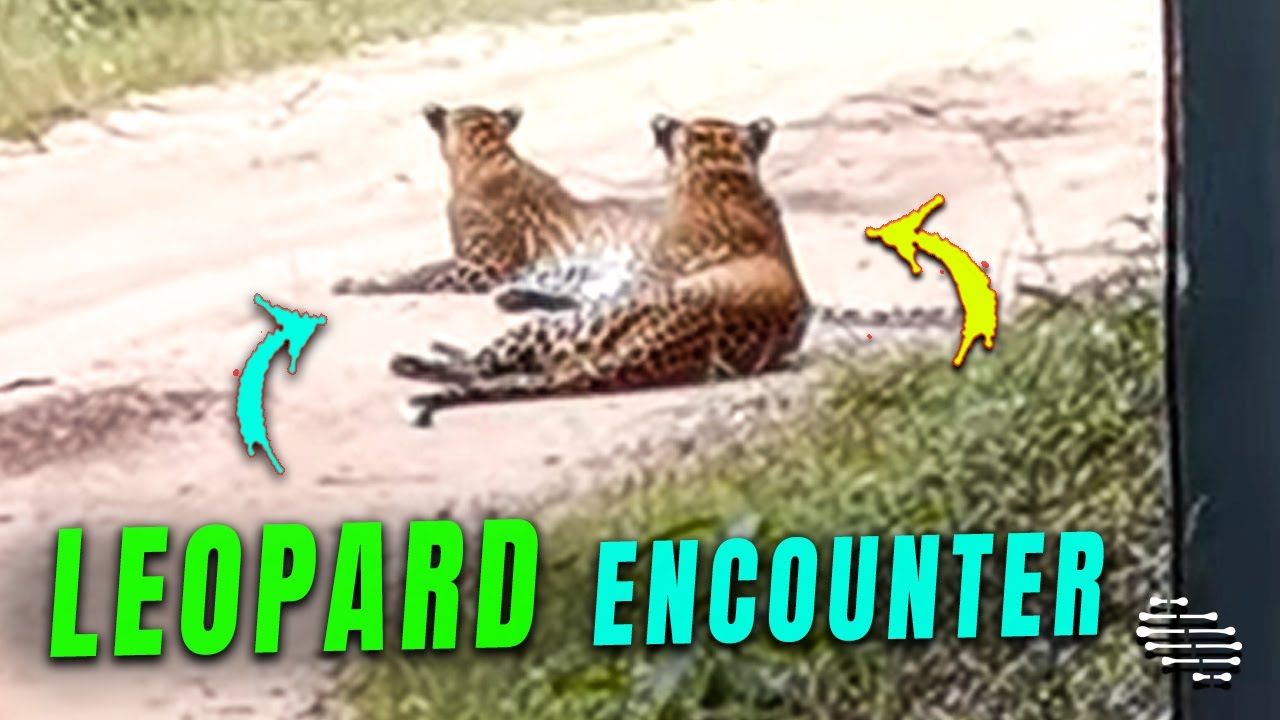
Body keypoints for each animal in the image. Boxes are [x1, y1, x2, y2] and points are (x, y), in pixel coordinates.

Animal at [331, 103, 661, 296]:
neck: (485, 157)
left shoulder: (481, 267)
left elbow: (419, 281)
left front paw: (366, 287)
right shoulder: (462, 257)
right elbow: (419, 270)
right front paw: (361, 280)